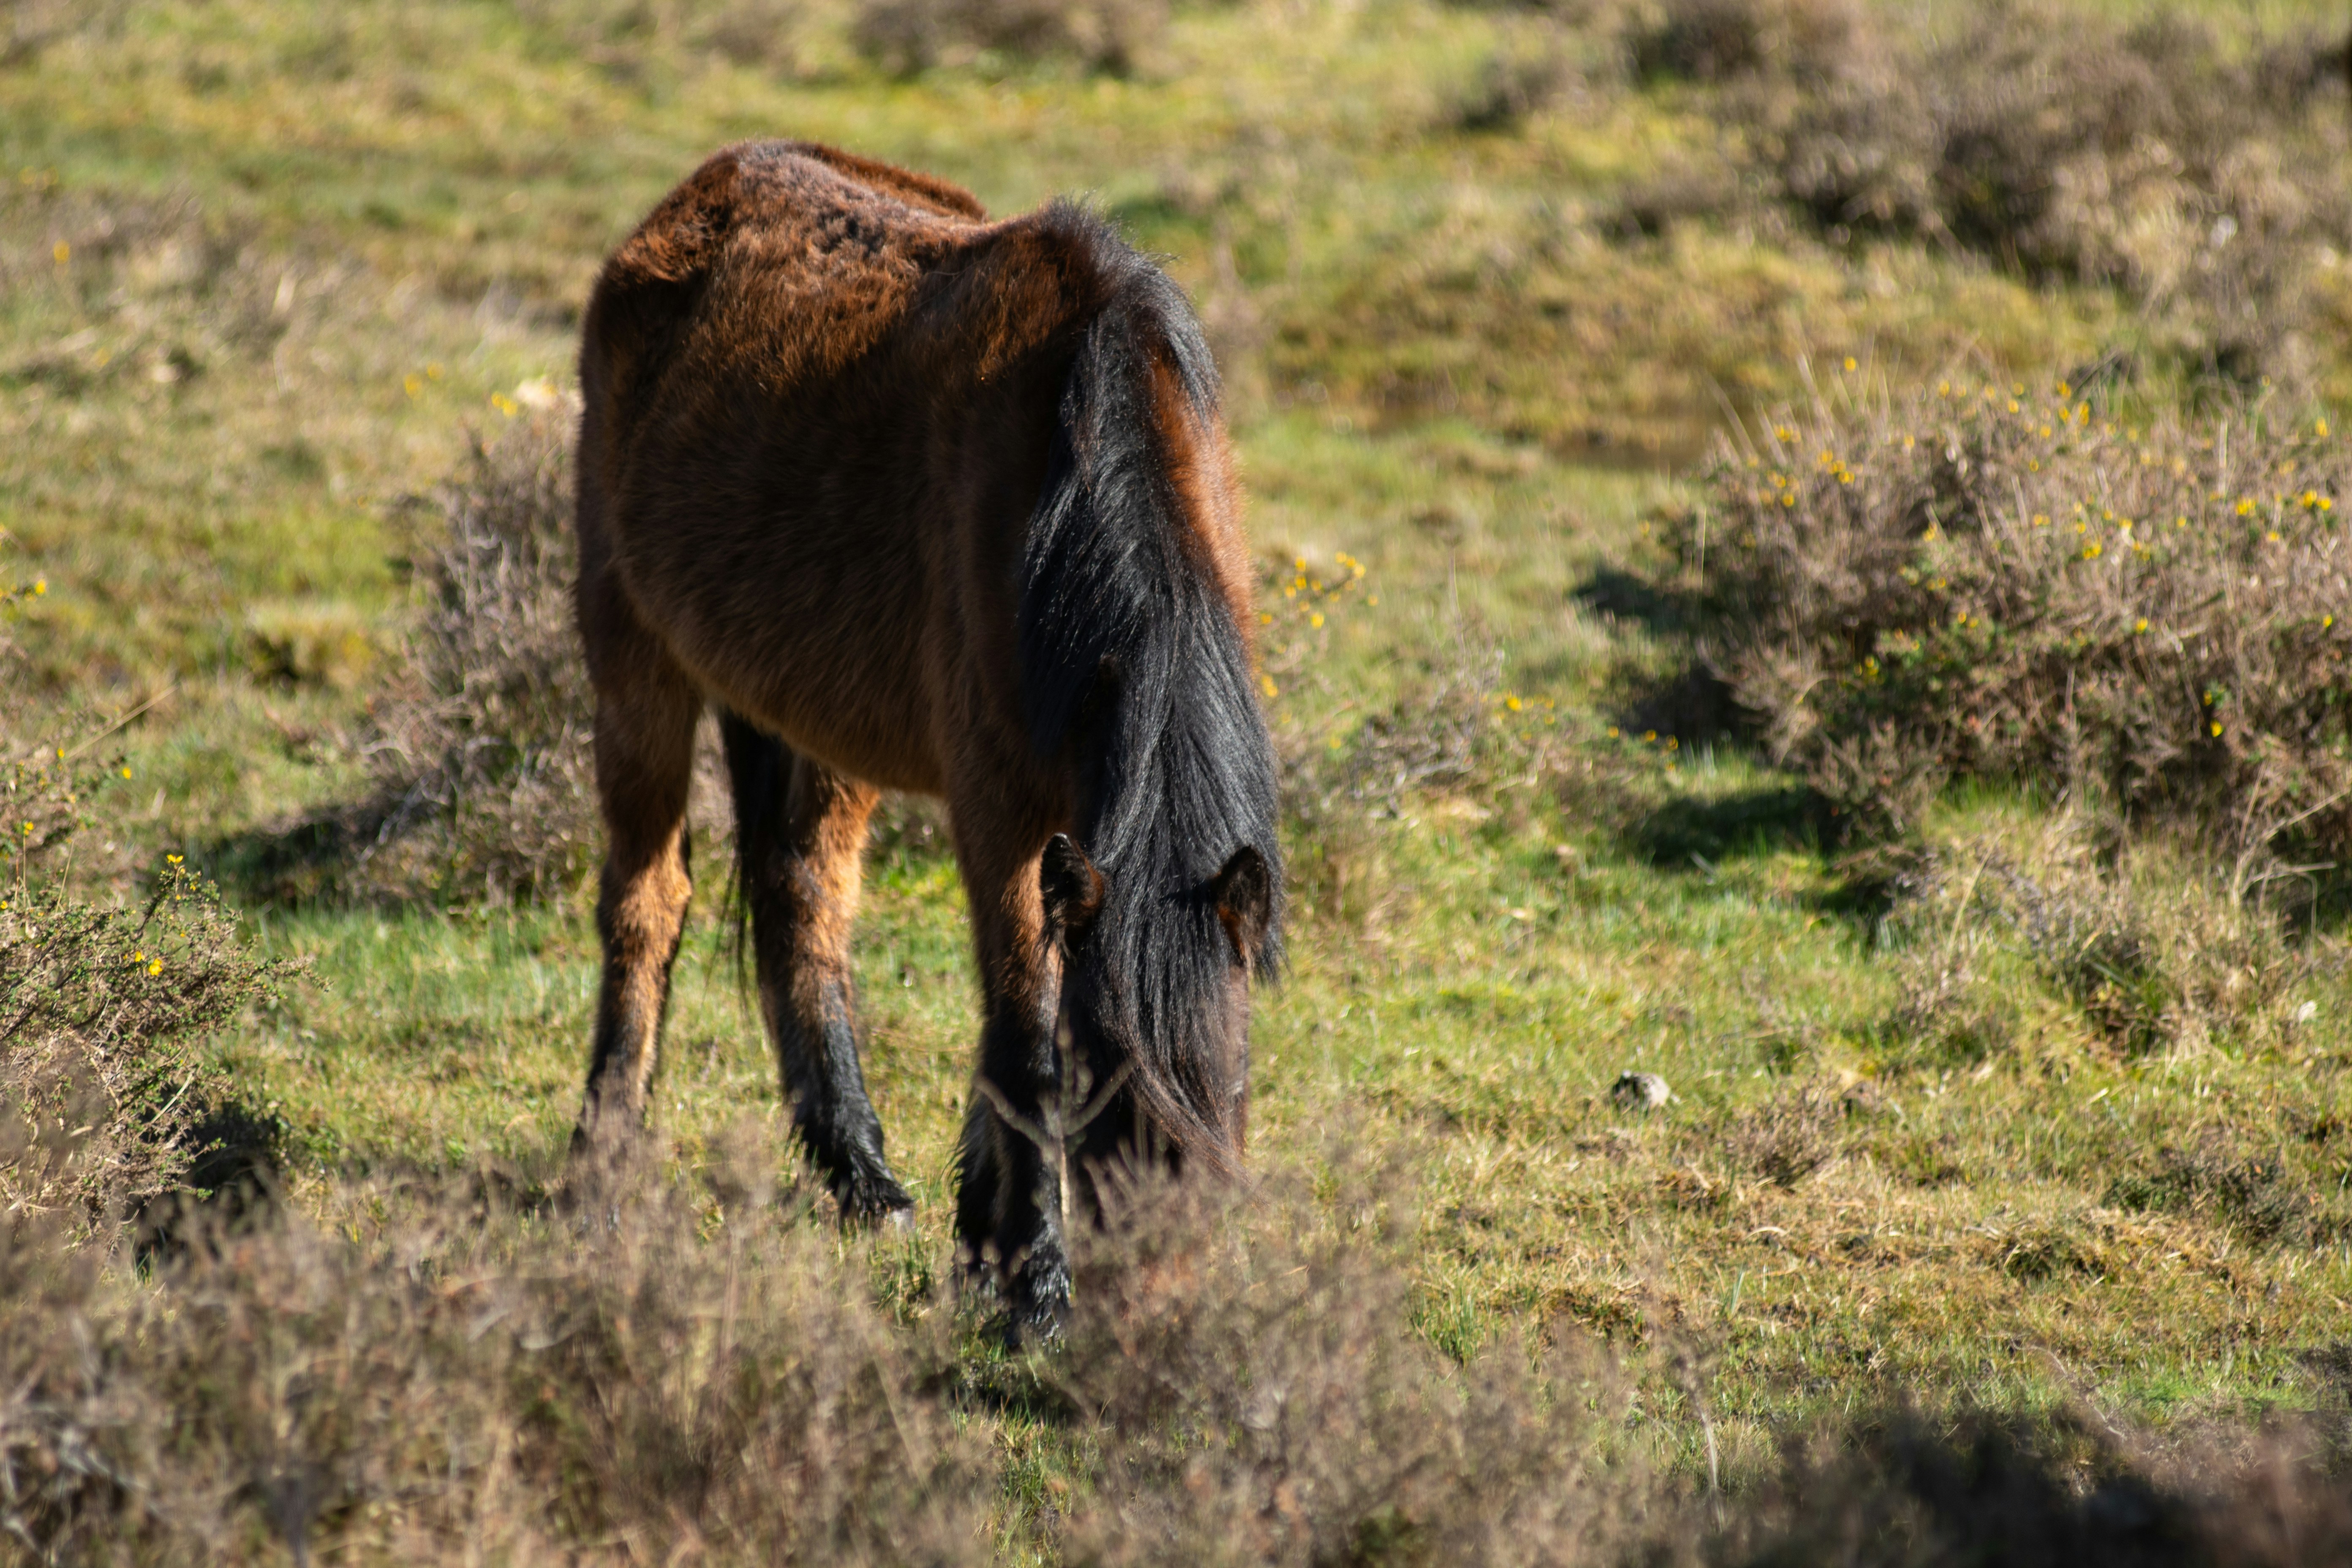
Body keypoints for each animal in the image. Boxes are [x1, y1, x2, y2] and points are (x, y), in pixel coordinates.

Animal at [568, 140, 1283, 1329]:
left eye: (1226, 1084)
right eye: (1102, 1090)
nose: (1156, 1314)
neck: (1069, 490)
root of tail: (692, 200)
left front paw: (980, 1240)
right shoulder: (999, 809)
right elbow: (1023, 1028)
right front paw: (1034, 1283)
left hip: (813, 716)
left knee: (802, 900)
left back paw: (860, 1175)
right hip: (634, 662)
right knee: (647, 905)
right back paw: (603, 1167)